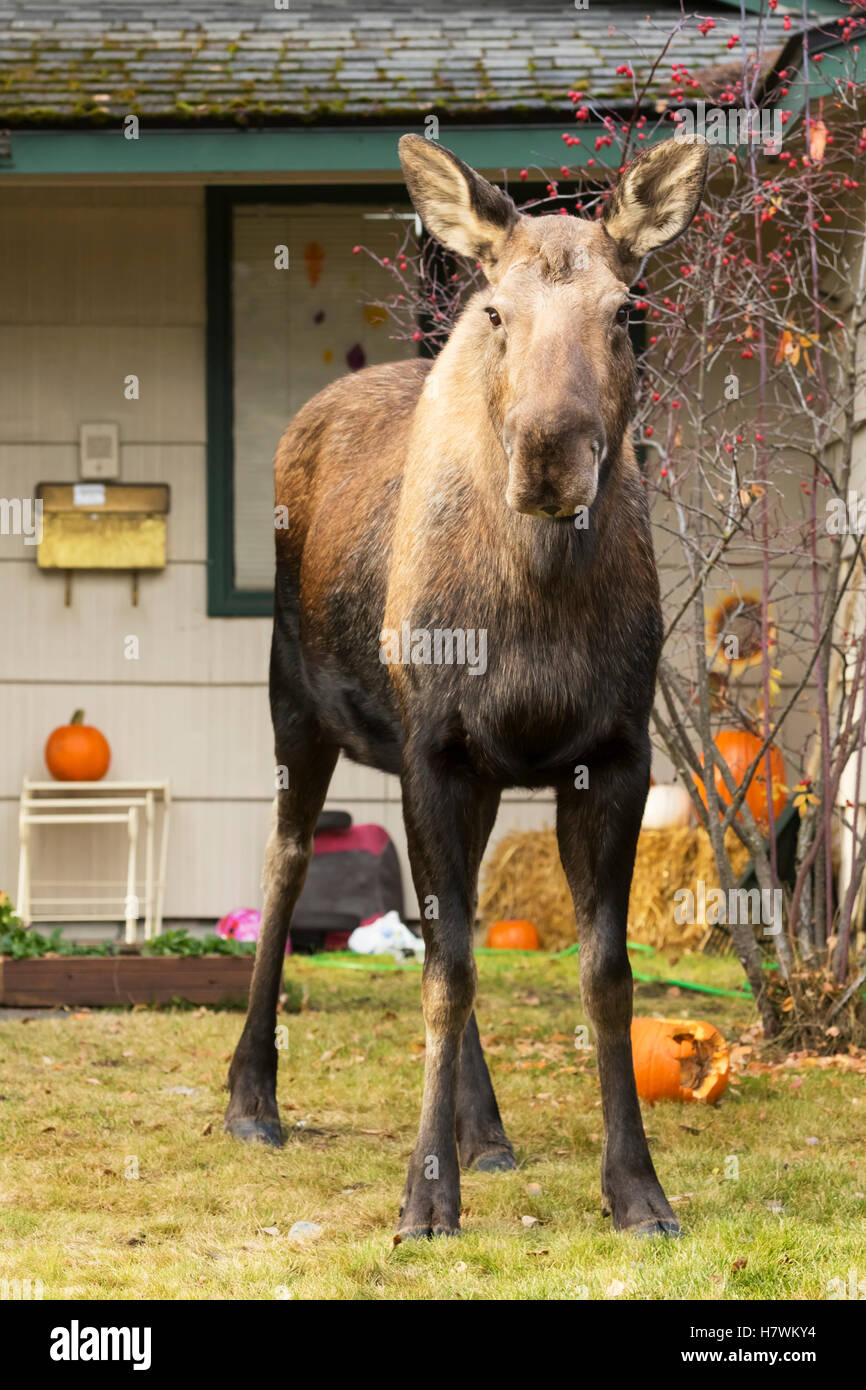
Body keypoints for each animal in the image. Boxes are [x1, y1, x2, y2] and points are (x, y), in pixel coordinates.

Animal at [225, 131, 709, 1239]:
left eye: (623, 312)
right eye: (495, 314)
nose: (550, 453)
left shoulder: (611, 752)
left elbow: (602, 971)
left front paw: (638, 1191)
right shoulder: (436, 747)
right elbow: (443, 975)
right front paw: (422, 1199)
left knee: (443, 912)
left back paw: (482, 1129)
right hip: (296, 701)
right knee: (287, 864)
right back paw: (252, 1096)